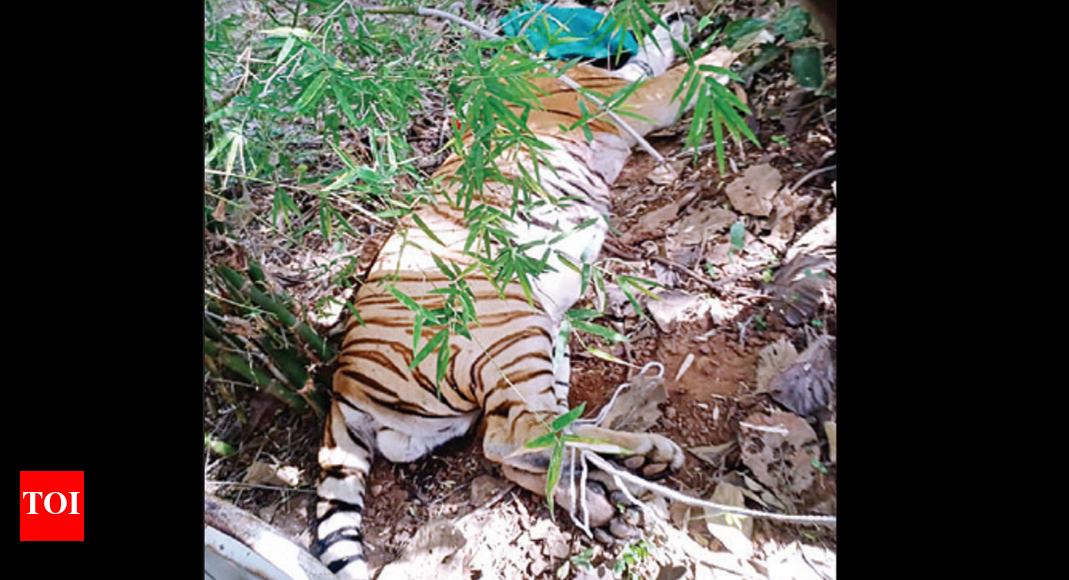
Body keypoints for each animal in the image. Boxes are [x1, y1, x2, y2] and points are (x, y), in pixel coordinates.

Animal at [312, 18, 736, 580]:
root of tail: (342, 383)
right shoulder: (620, 97)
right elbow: (664, 74)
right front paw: (725, 52)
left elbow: (645, 59)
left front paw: (677, 32)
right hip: (510, 329)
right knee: (514, 440)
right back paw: (641, 460)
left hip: (538, 349)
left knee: (530, 445)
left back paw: (610, 494)